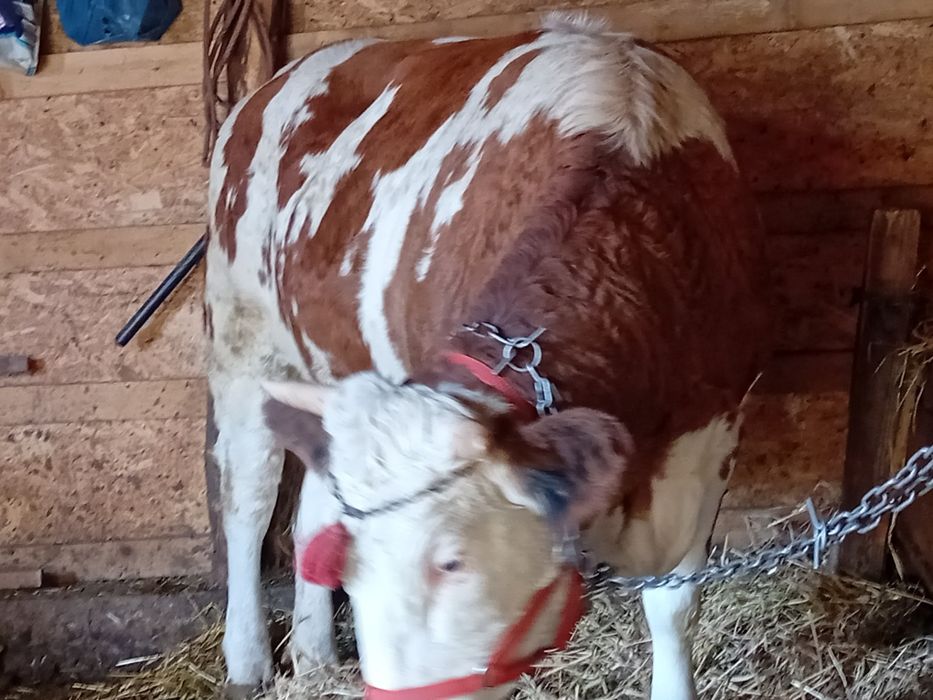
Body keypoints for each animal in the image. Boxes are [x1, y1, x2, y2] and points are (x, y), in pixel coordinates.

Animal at [204, 13, 769, 700]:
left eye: (451, 561)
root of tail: (269, 87)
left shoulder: (711, 441)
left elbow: (674, 605)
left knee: (309, 507)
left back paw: (314, 656)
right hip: (242, 347)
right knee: (248, 503)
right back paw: (248, 660)